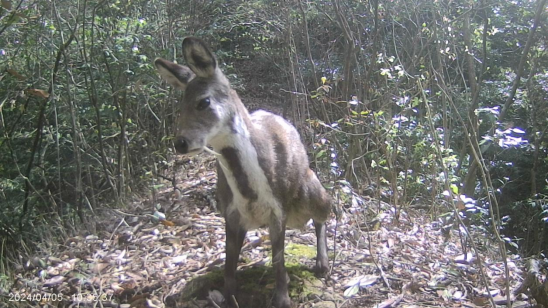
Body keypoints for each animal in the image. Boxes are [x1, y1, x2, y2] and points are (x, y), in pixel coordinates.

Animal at [154, 38, 332, 308]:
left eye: (204, 101)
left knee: (326, 210)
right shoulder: (230, 212)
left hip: (310, 190)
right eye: (180, 106)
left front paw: (283, 299)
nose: (181, 143)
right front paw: (229, 298)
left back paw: (322, 264)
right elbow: (229, 265)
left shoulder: (278, 208)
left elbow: (278, 261)